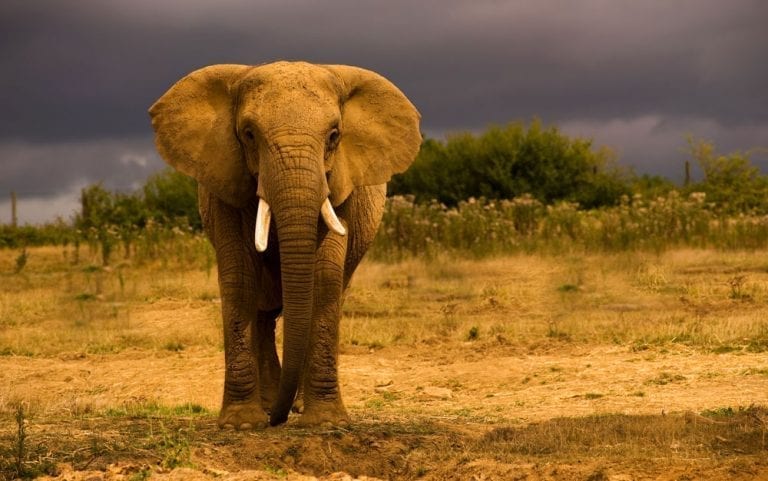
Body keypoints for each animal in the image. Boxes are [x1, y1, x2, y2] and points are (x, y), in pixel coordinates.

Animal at [148, 61, 421, 428]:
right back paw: (268, 404)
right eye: (249, 134)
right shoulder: (224, 180)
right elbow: (239, 277)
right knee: (262, 312)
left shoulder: (341, 184)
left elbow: (324, 277)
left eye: (334, 135)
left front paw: (326, 423)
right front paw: (241, 423)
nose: (278, 419)